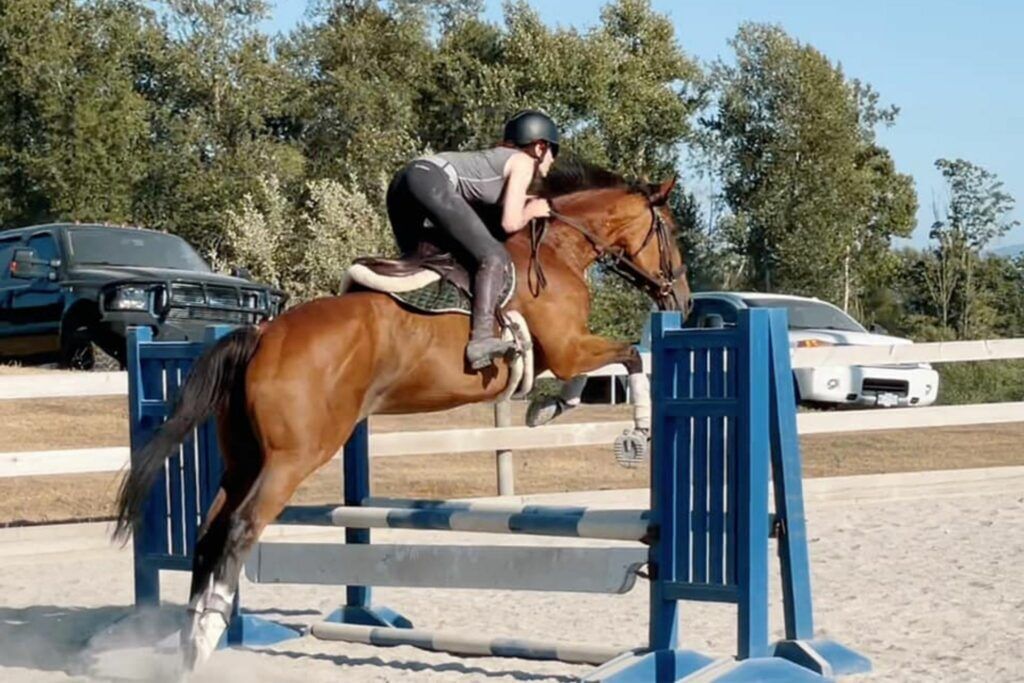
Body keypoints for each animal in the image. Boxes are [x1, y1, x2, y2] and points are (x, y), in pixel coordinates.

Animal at [113, 161, 692, 670]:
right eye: (670, 229)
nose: (683, 300)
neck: (555, 250)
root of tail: (262, 334)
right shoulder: (569, 349)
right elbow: (631, 357)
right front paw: (633, 430)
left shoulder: (565, 353)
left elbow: (598, 369)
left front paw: (545, 408)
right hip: (294, 456)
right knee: (239, 526)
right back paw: (207, 634)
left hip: (244, 457)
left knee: (208, 529)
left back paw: (190, 636)